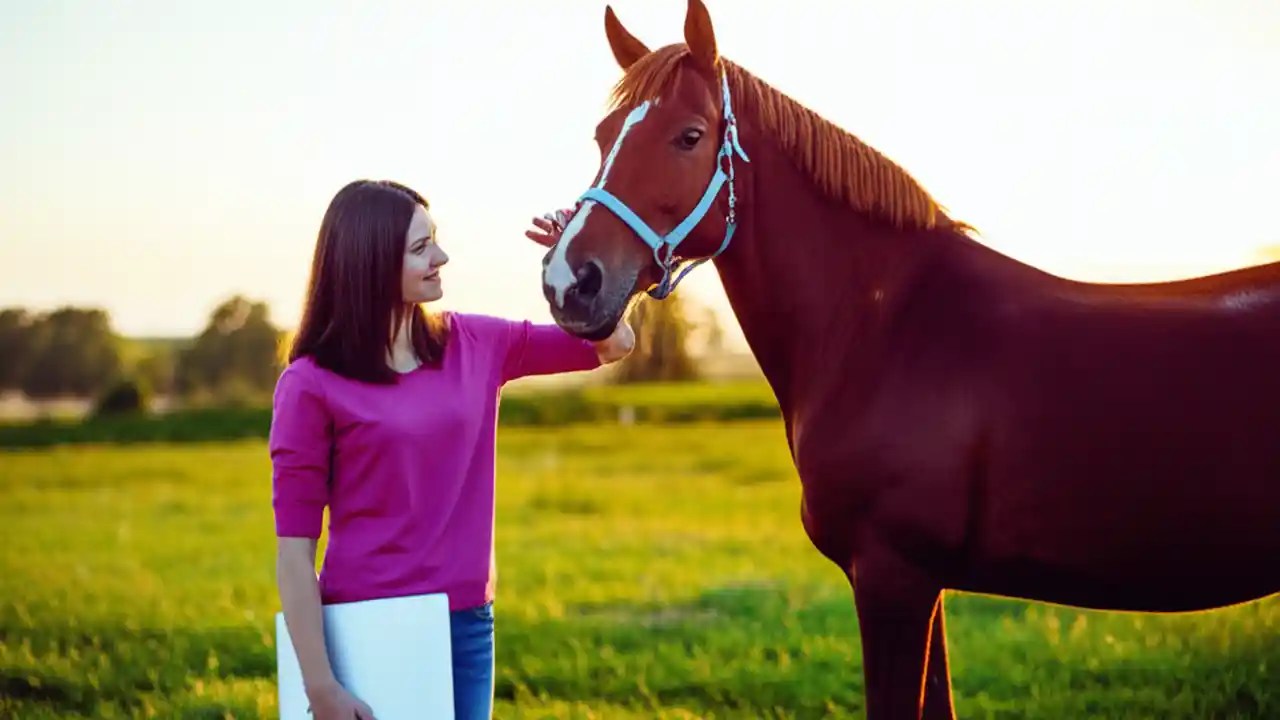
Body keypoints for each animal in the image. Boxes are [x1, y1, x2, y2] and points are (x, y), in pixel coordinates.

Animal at [535, 1, 1280, 717]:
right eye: (603, 136)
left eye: (689, 136)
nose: (571, 281)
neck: (887, 328)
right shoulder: (924, 586)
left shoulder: (892, 579)